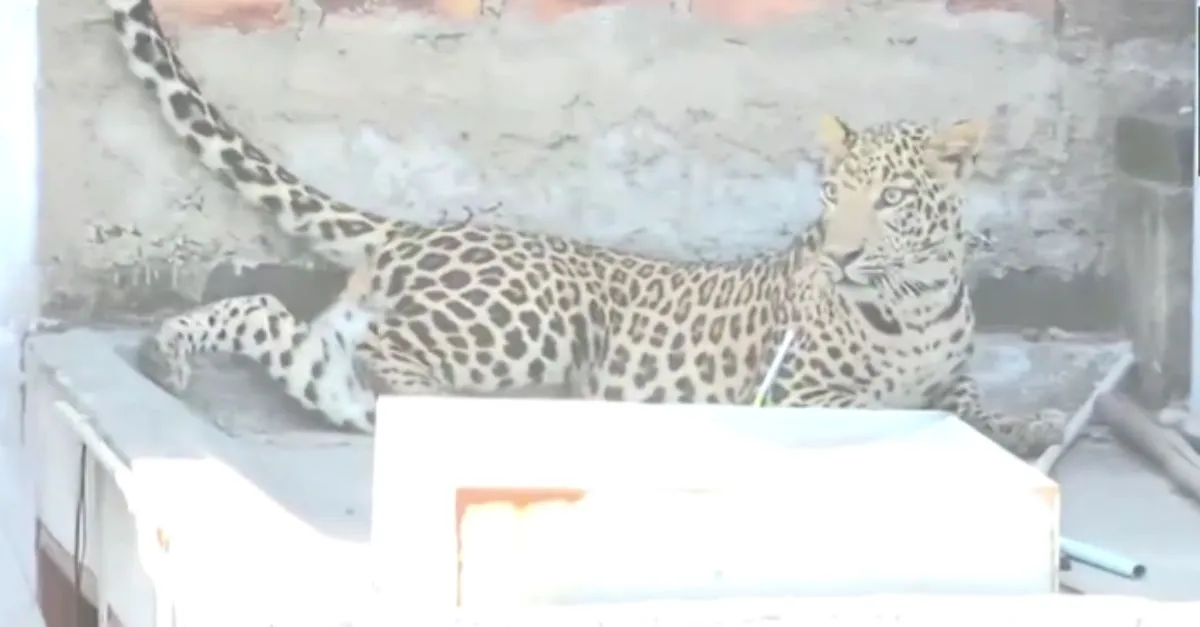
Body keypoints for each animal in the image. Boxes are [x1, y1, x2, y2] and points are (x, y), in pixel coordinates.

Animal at [106, 0, 1061, 457]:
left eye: (892, 198)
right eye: (835, 196)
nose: (844, 251)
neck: (918, 299)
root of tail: (412, 231)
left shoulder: (952, 374)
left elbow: (976, 407)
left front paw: (1034, 423)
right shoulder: (791, 395)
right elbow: (889, 407)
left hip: (335, 366)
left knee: (285, 322)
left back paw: (167, 351)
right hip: (536, 318)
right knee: (388, 356)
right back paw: (492, 408)